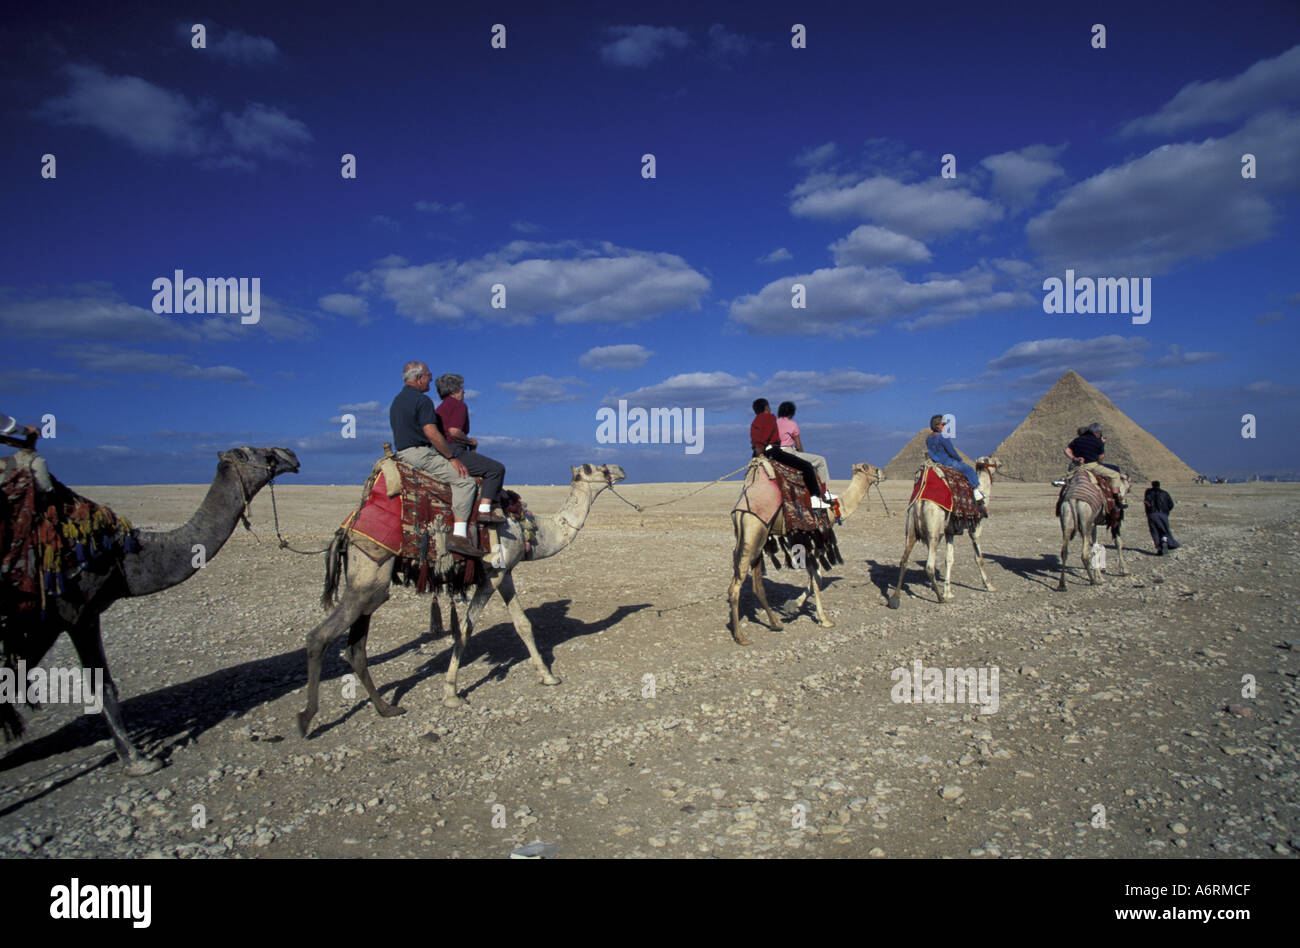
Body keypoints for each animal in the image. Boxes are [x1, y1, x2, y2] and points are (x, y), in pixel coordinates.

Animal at [1, 446, 300, 774]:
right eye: (255, 452)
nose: (290, 455)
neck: (123, 554)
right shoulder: (68, 615)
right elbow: (95, 686)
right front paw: (139, 760)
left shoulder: (64, 620)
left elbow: (98, 685)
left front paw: (133, 758)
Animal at [297, 463, 626, 736]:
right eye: (597, 468)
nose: (620, 469)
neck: (530, 529)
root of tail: (347, 527)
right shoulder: (492, 575)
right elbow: (465, 629)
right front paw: (451, 694)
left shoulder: (504, 572)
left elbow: (523, 625)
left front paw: (548, 677)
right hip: (370, 576)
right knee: (319, 637)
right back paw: (306, 718)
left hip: (367, 580)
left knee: (355, 648)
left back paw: (386, 708)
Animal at [728, 462, 884, 645]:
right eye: (873, 468)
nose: (883, 473)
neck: (833, 508)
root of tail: (739, 510)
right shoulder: (816, 540)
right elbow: (817, 579)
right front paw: (824, 620)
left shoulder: (805, 542)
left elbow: (813, 576)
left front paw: (793, 606)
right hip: (754, 532)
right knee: (735, 586)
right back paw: (740, 636)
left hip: (754, 538)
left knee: (755, 584)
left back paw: (775, 624)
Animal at [888, 457, 1000, 608]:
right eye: (992, 461)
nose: (1000, 463)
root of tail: (919, 500)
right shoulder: (975, 528)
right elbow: (979, 558)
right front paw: (989, 586)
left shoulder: (949, 532)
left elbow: (949, 559)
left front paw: (948, 591)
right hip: (934, 534)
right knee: (929, 566)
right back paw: (940, 598)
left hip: (910, 529)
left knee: (904, 560)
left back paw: (895, 598)